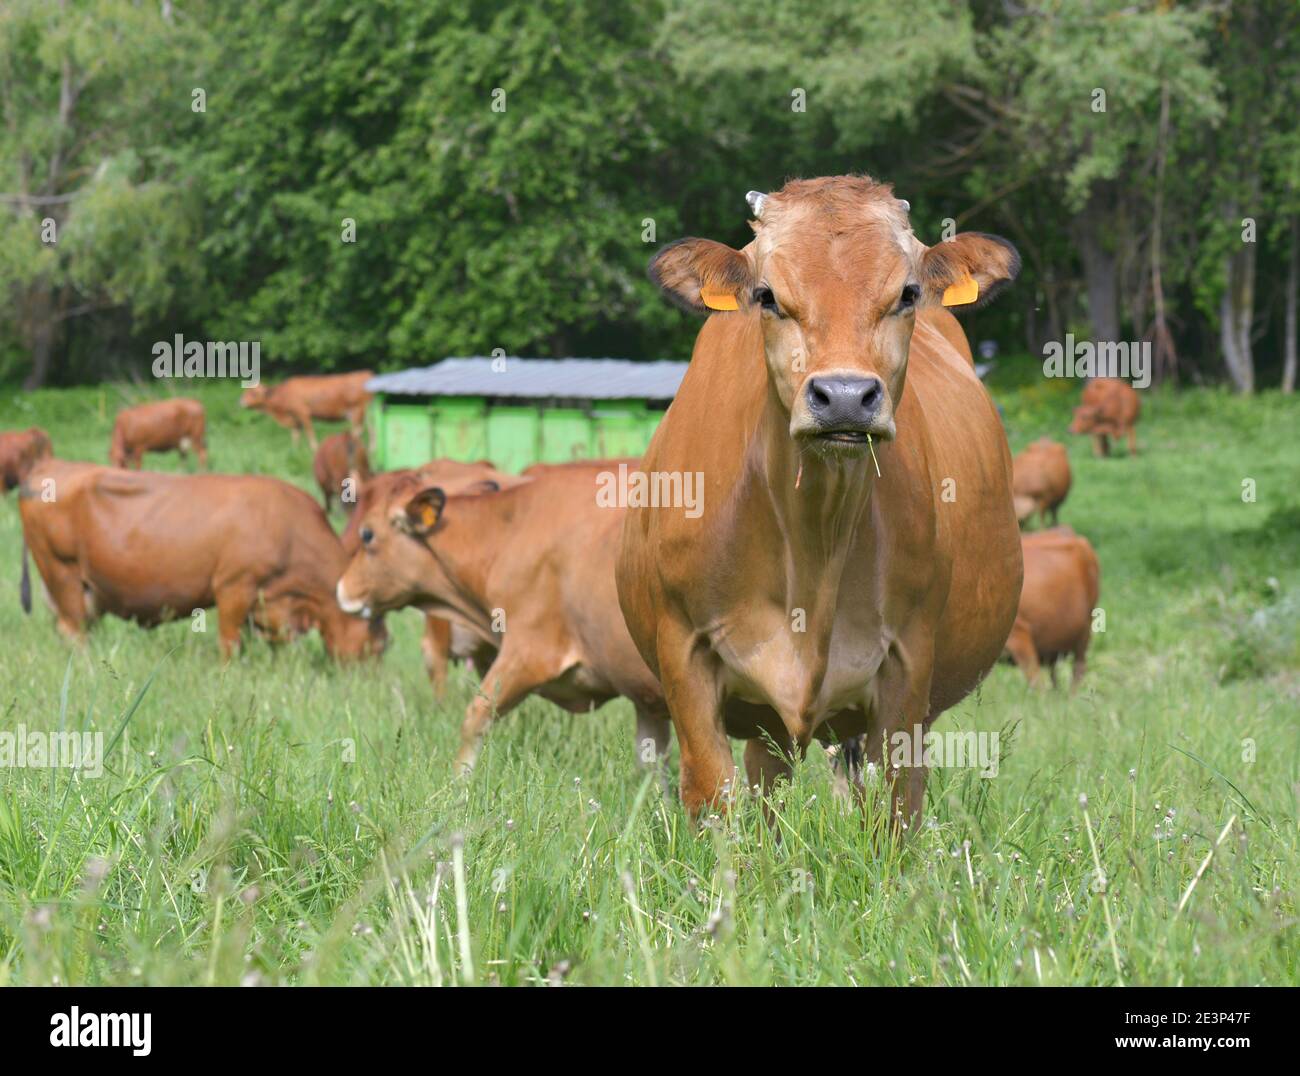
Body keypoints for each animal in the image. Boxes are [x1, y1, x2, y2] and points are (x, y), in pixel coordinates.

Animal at [19, 459, 382, 661]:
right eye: (379, 645)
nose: (369, 681)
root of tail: (47, 468)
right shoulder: (234, 586)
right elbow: (230, 643)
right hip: (61, 572)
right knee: (73, 630)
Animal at [240, 371, 373, 451]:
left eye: (253, 393)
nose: (240, 401)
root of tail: (364, 373)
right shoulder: (295, 418)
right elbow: (295, 435)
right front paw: (294, 450)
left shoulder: (303, 413)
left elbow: (310, 433)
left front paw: (315, 449)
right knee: (371, 430)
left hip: (357, 410)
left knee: (358, 431)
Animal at [616, 175, 1023, 828]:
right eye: (767, 295)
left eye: (907, 293)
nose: (845, 396)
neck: (814, 539)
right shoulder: (683, 648)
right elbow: (713, 795)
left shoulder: (908, 663)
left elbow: (895, 808)